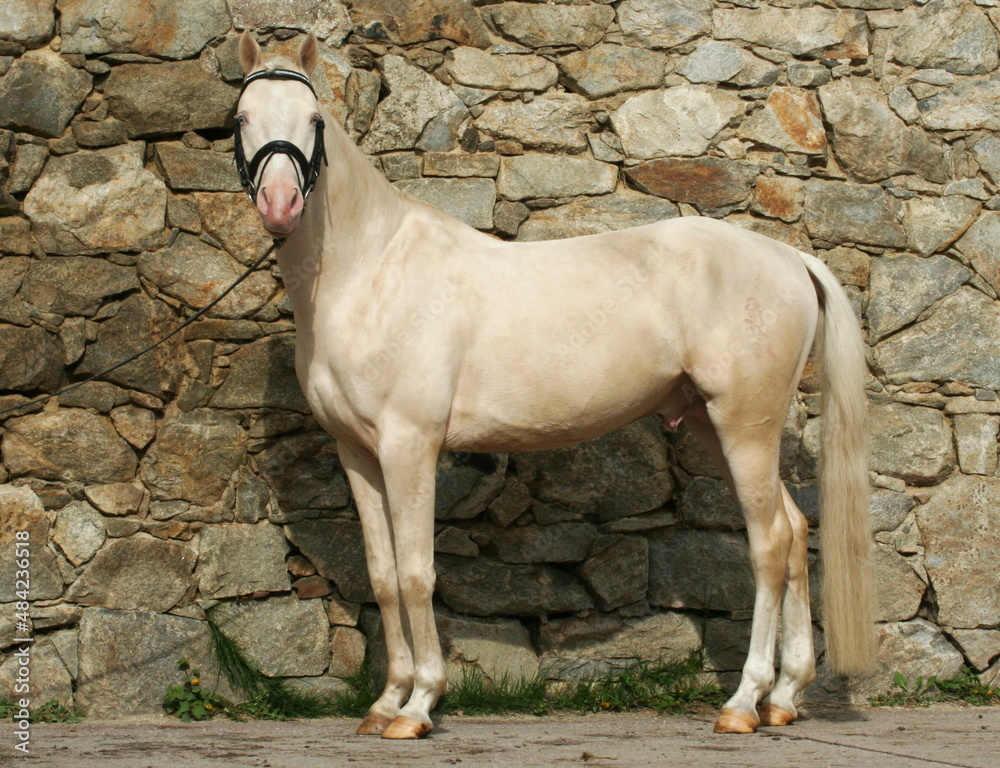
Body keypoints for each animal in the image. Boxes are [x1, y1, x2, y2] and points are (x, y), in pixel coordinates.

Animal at [233, 32, 874, 739]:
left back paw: (743, 702)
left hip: (745, 424)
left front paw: (420, 705)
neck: (370, 273)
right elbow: (381, 576)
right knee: (793, 531)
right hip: (717, 424)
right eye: (241, 119)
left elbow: (416, 574)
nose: (280, 207)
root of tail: (790, 257)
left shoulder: (410, 446)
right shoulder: (358, 454)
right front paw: (385, 703)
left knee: (768, 544)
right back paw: (783, 696)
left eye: (314, 121)